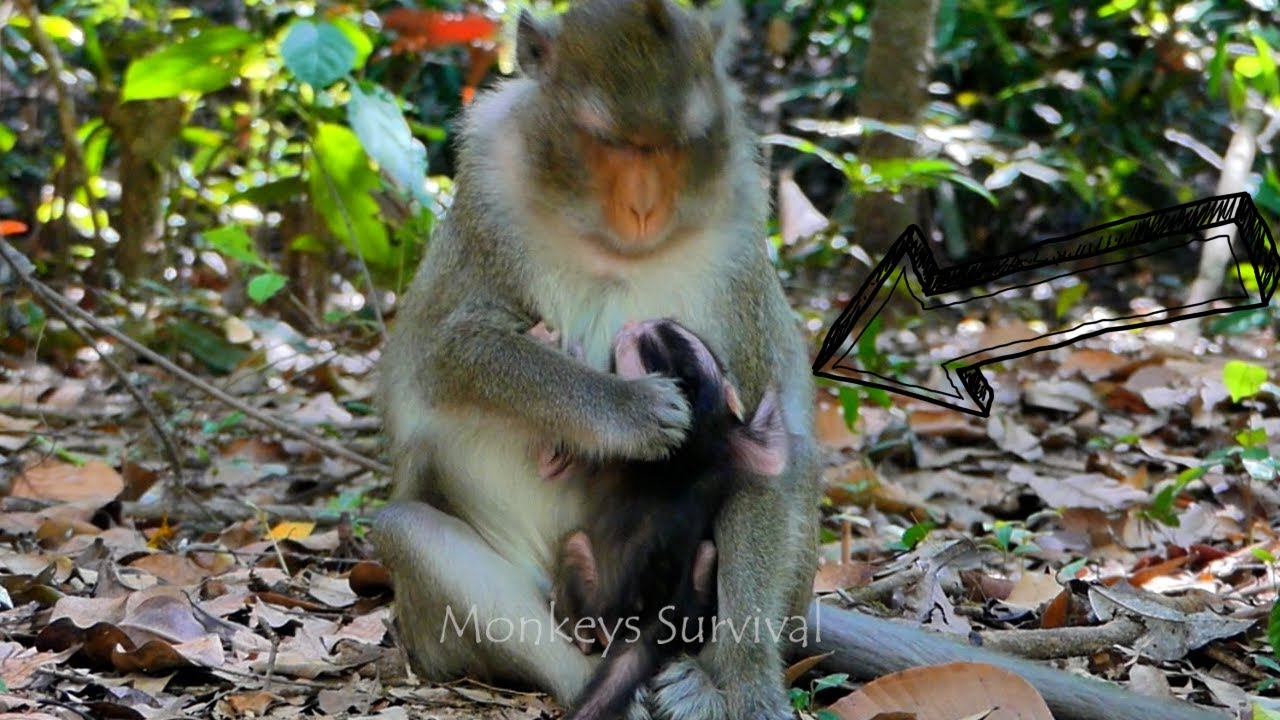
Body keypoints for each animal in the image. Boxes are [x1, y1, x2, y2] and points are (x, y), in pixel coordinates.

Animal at [548, 317, 789, 720]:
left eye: (649, 345)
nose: (633, 323)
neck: (699, 435)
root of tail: (654, 619)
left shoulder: (628, 452)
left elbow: (579, 450)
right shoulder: (733, 447)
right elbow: (774, 451)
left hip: (595, 591)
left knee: (575, 548)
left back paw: (579, 629)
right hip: (696, 589)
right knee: (706, 558)